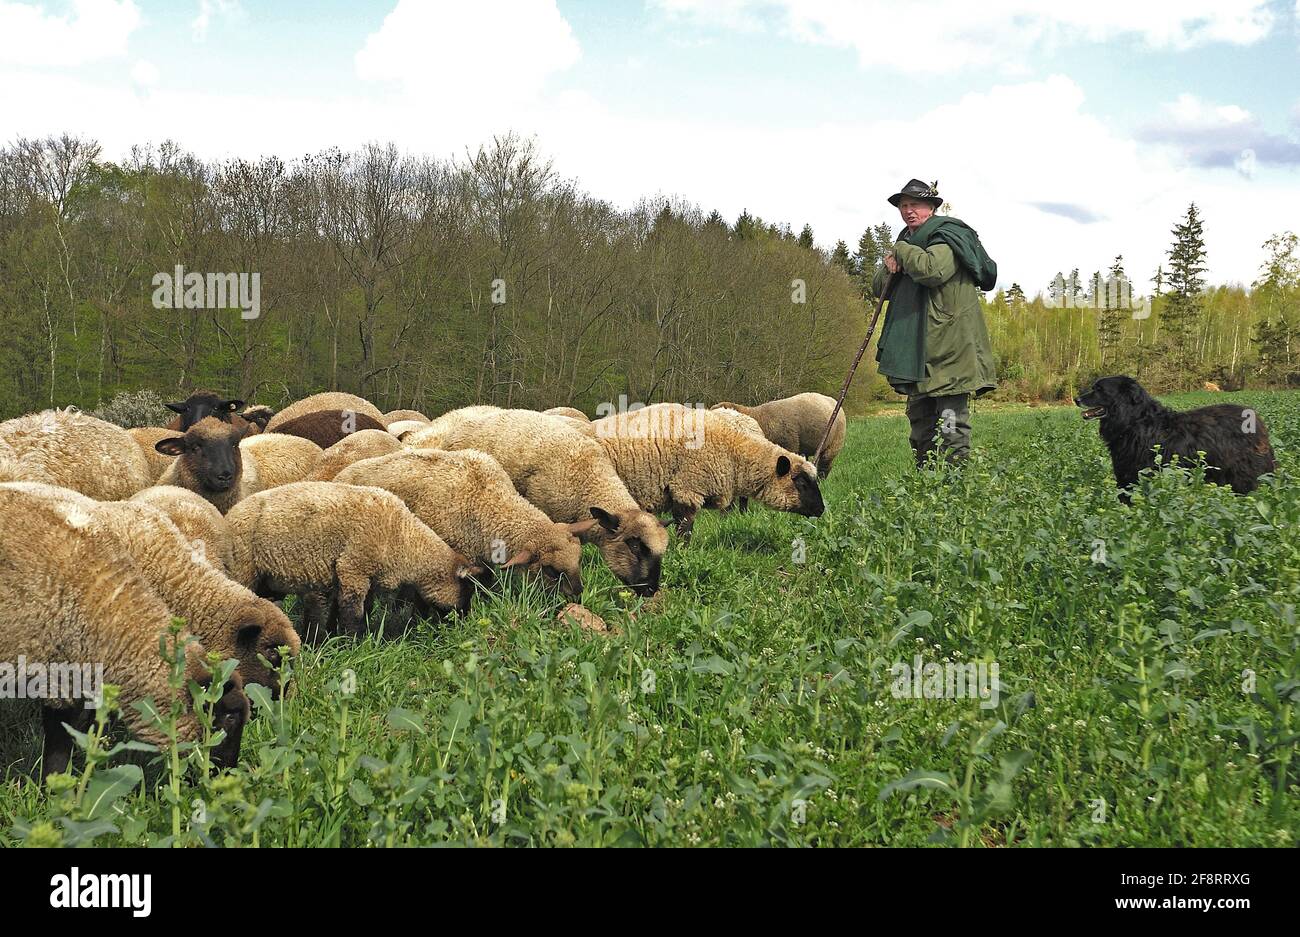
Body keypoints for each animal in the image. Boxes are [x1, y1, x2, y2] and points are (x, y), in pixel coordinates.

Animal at [226, 482, 483, 637]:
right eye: (467, 589)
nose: (465, 623)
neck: (404, 538)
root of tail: (230, 514)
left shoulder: (362, 574)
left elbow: (360, 608)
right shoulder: (353, 566)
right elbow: (353, 611)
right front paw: (353, 642)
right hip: (242, 568)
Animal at [592, 403, 824, 541]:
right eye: (801, 483)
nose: (822, 509)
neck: (732, 449)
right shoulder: (687, 489)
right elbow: (685, 530)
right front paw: (681, 555)